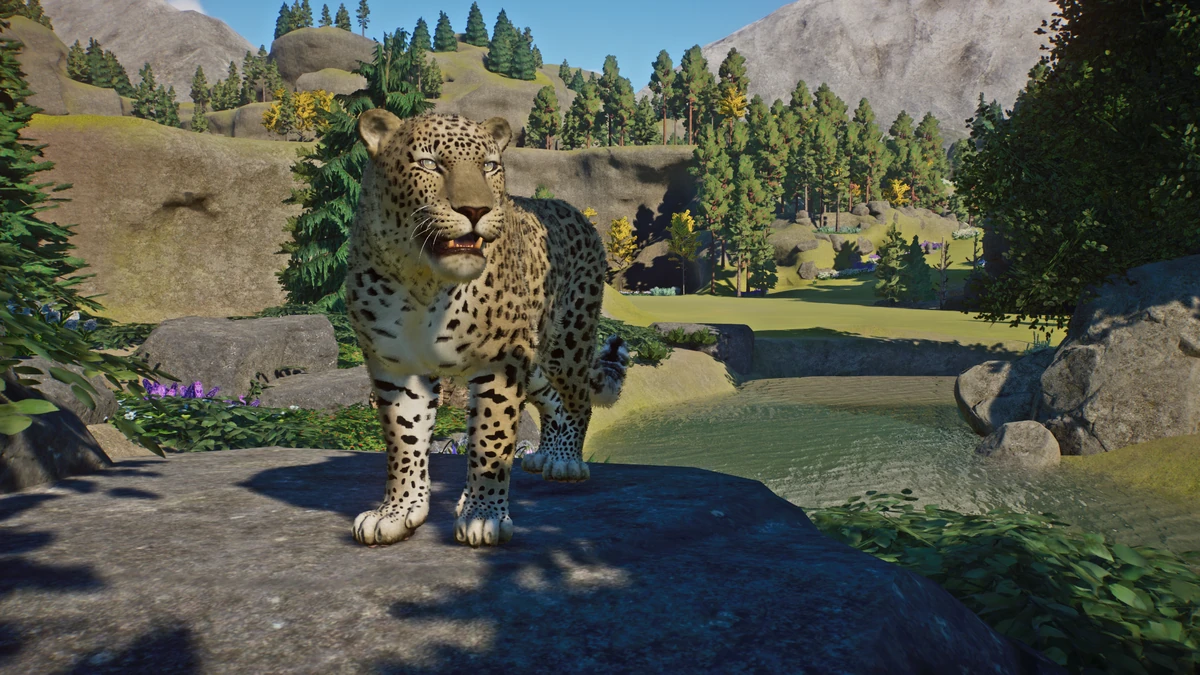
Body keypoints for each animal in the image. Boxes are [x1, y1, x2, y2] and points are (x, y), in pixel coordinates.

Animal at [345, 109, 630, 548]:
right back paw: (543, 455)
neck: (422, 282)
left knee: (578, 397)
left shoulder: (501, 361)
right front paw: (397, 511)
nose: (476, 211)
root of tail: (573, 210)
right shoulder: (395, 365)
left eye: (490, 166)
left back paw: (564, 461)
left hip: (566, 343)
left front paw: (484, 517)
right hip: (534, 358)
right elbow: (405, 438)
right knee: (551, 398)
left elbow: (491, 441)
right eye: (429, 164)